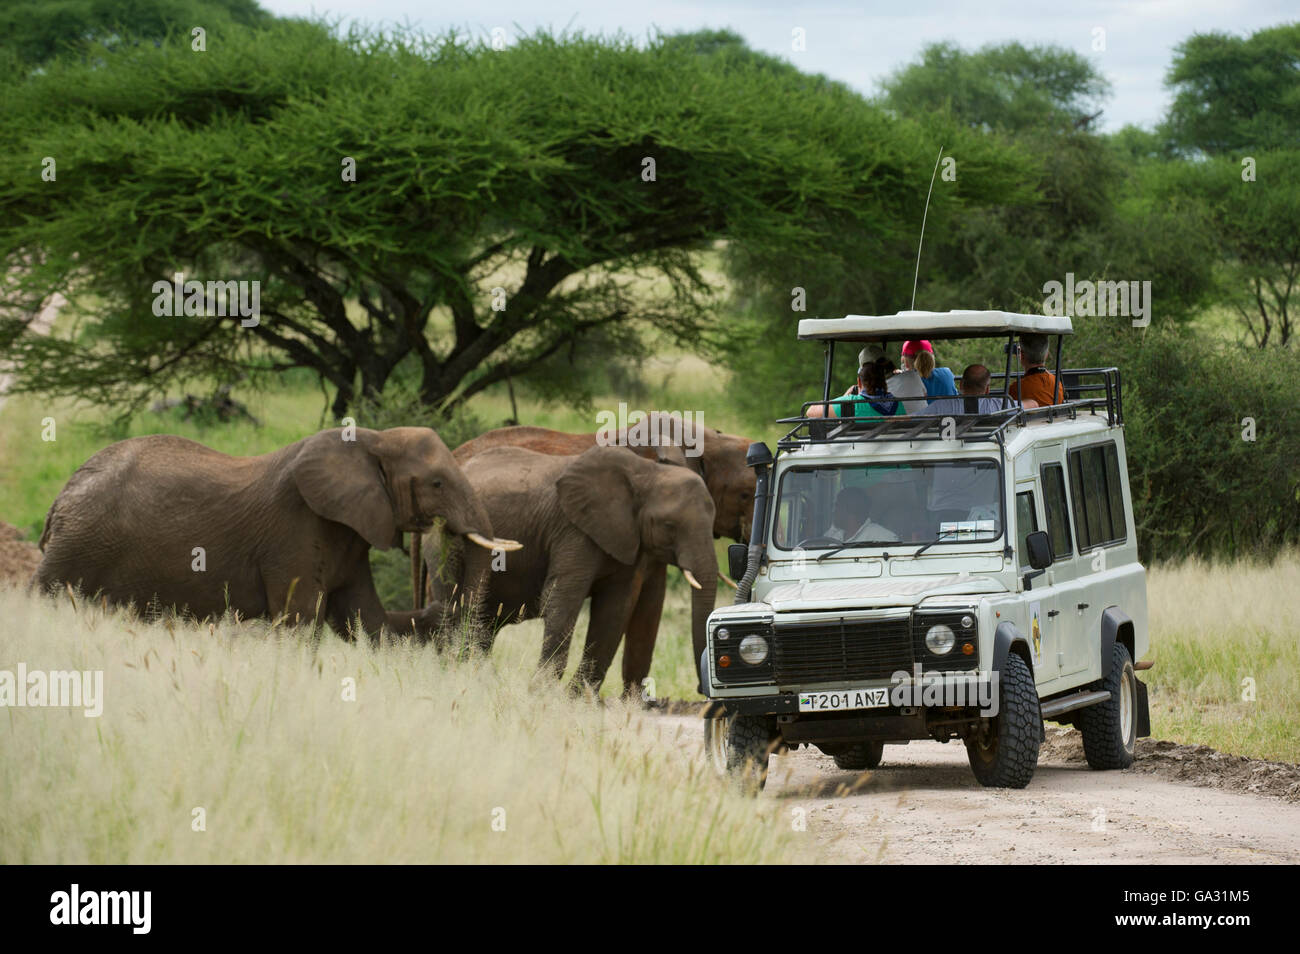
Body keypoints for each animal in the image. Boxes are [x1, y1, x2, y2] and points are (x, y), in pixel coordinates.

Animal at [33, 426, 519, 638]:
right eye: (436, 483)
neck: (371, 440)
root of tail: (60, 497)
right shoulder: (295, 532)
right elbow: (301, 622)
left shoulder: (349, 532)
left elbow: (364, 619)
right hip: (77, 546)